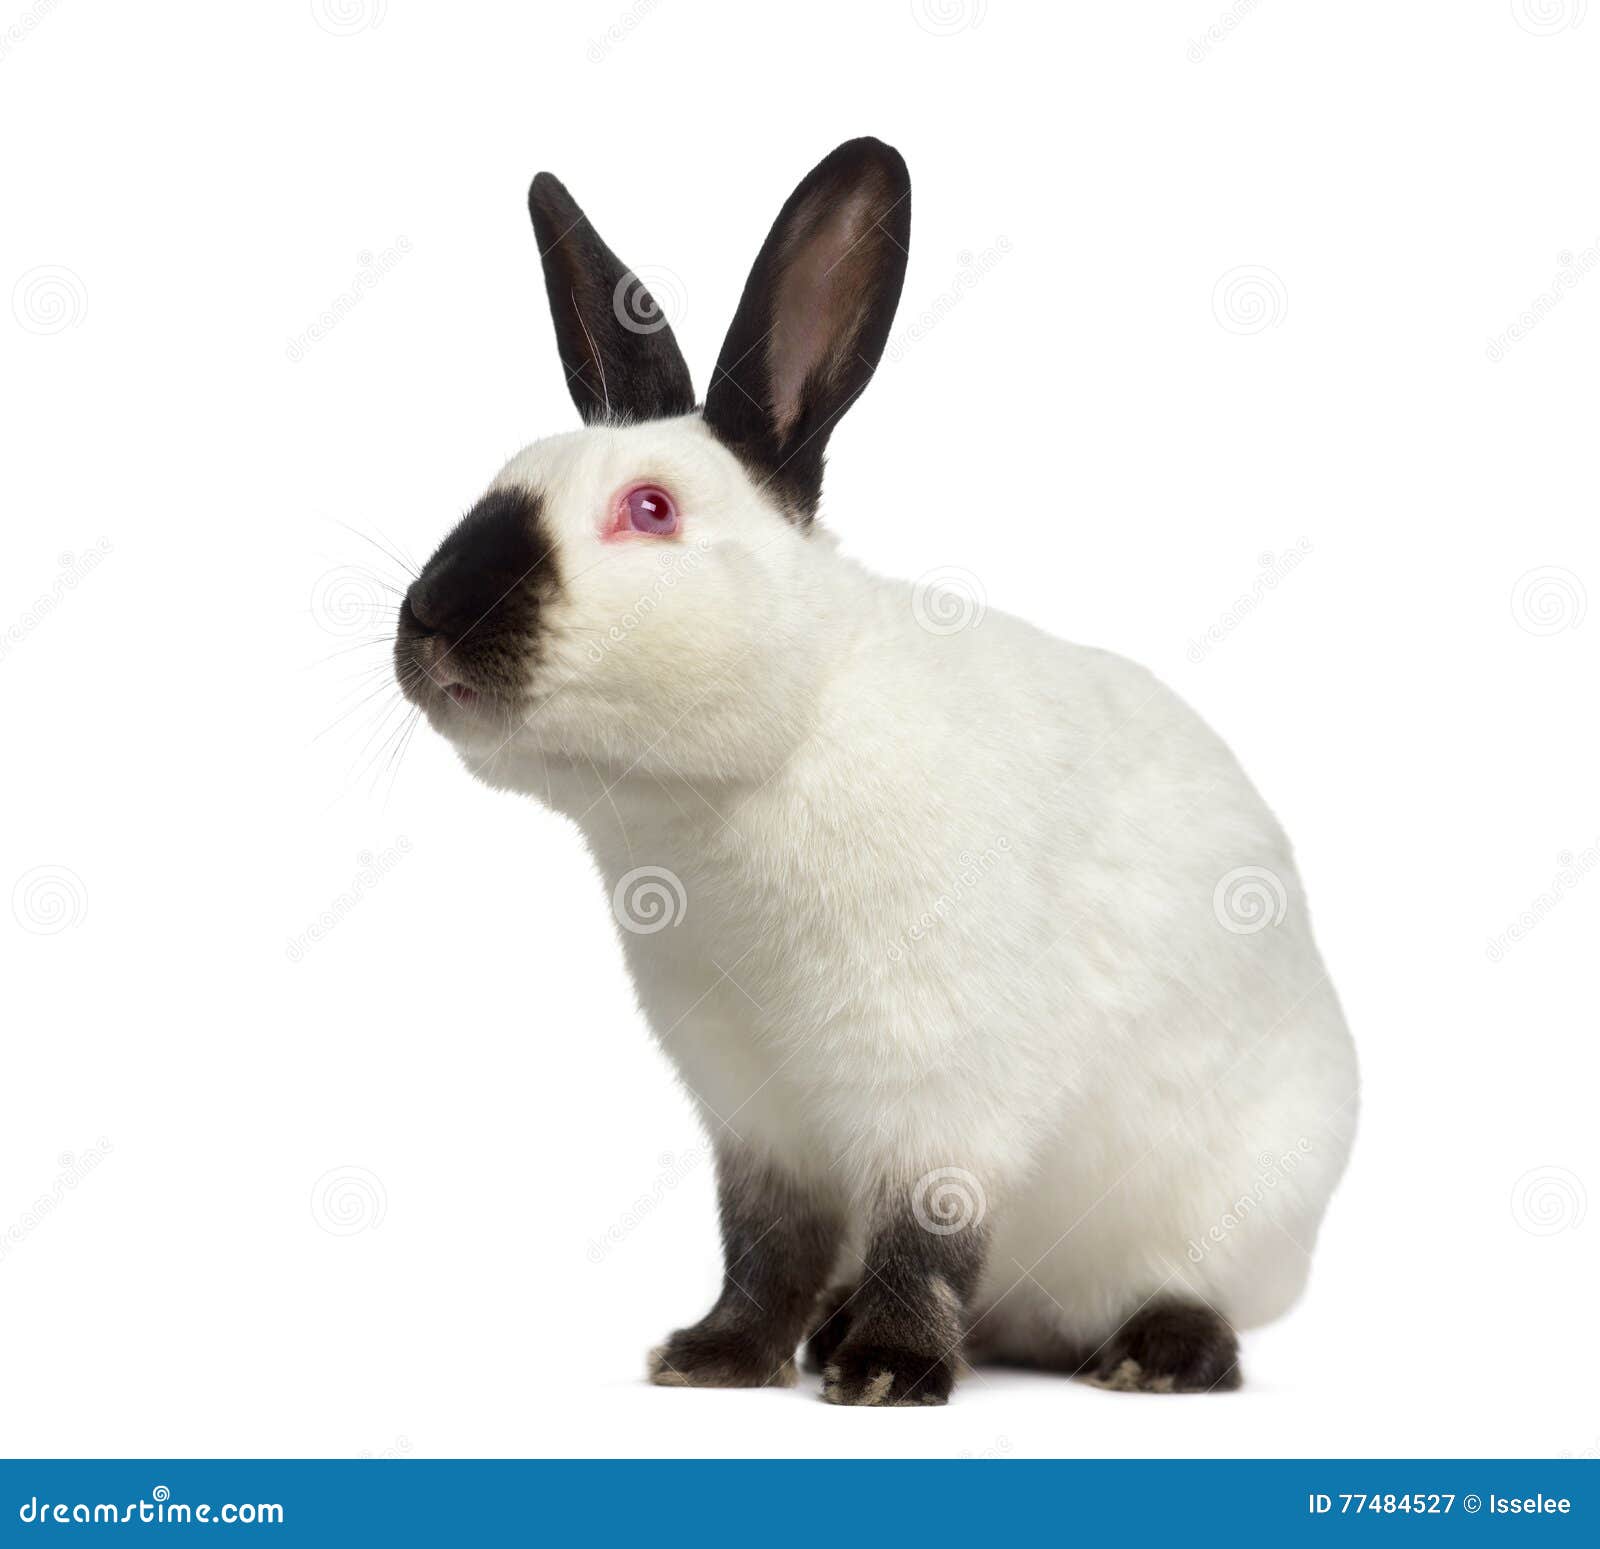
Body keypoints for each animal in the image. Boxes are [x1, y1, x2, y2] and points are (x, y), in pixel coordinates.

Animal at [393, 137, 1358, 1406]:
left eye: (649, 510)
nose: (430, 623)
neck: (770, 755)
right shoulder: (758, 1118)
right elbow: (767, 1246)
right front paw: (717, 1356)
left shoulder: (937, 1091)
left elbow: (927, 1230)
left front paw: (888, 1374)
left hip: (1234, 1203)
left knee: (1199, 1294)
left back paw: (1150, 1355)